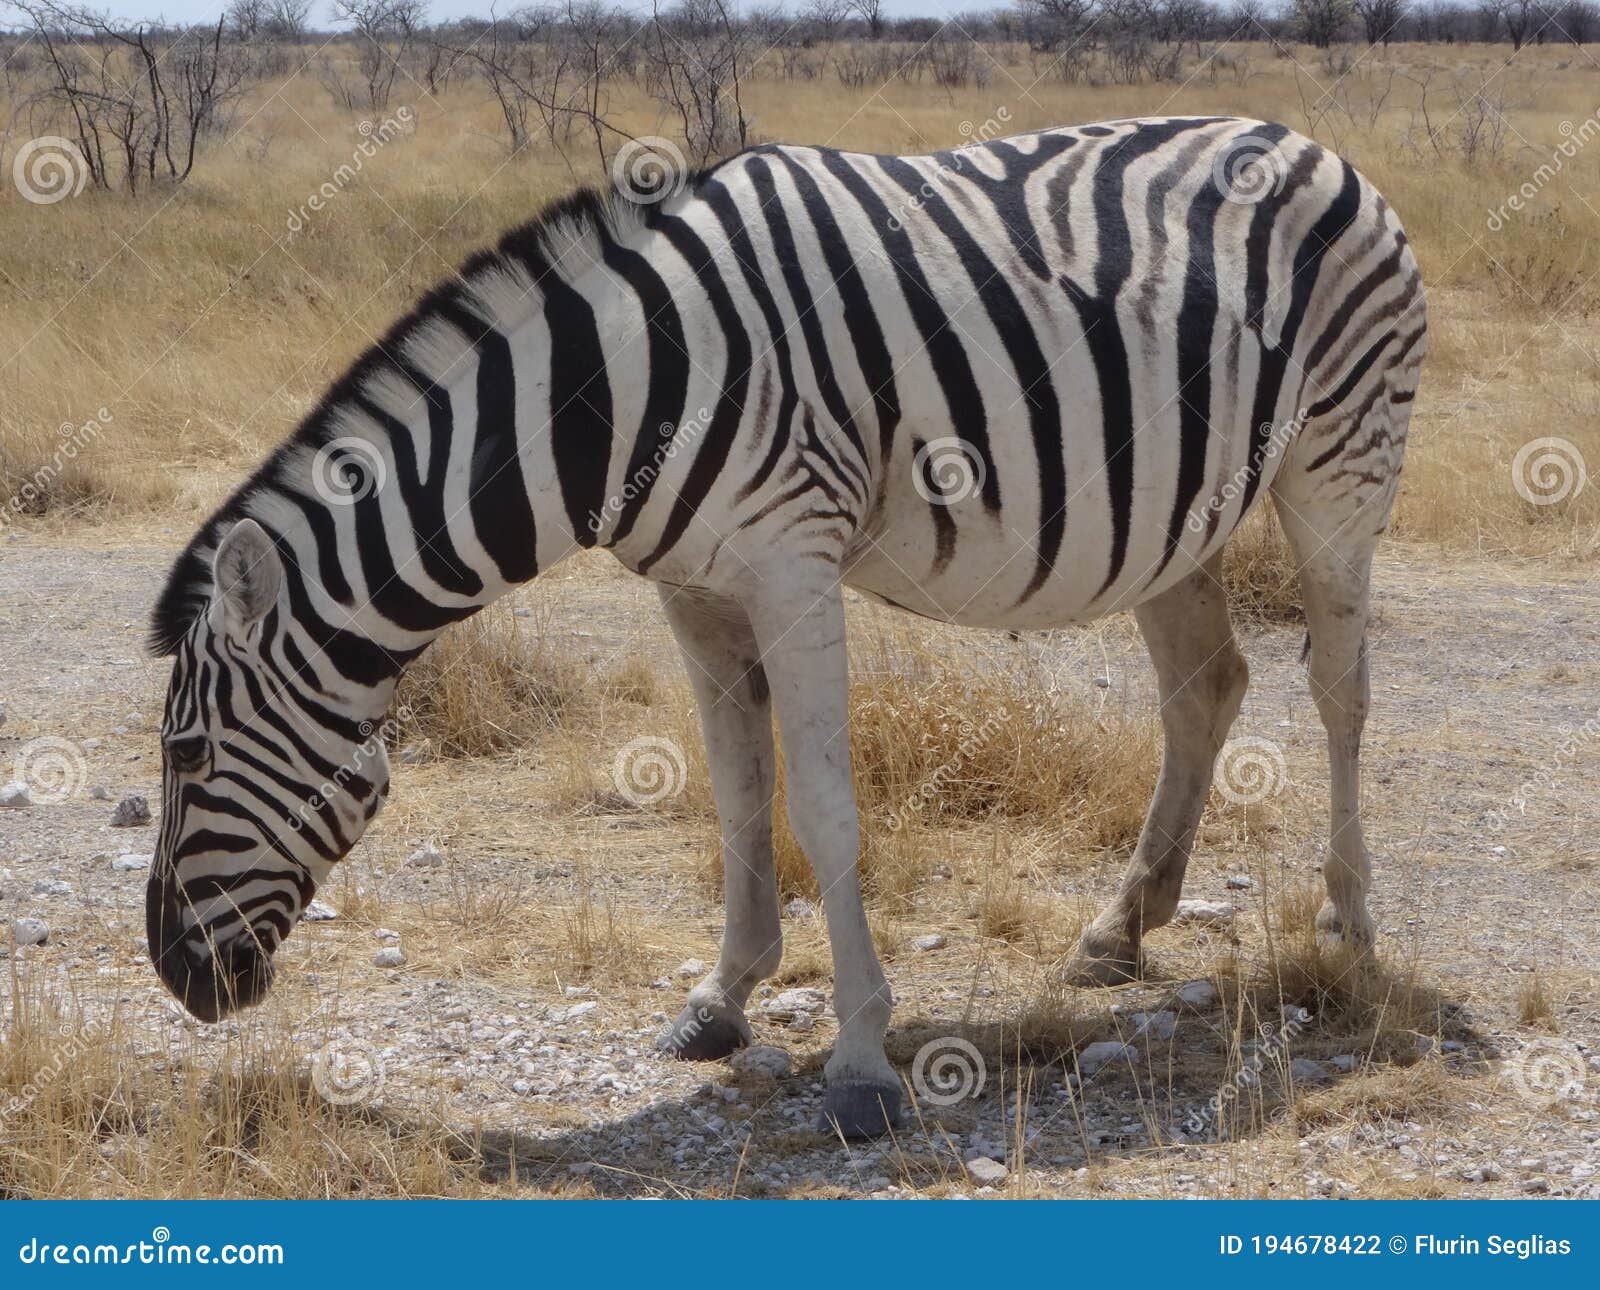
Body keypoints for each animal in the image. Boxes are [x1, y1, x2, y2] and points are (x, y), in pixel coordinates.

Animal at [146, 116, 1425, 1138]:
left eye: (185, 753)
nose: (174, 976)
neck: (621, 396)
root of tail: (1303, 138)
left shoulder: (793, 563)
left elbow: (817, 804)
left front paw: (860, 1063)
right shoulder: (693, 587)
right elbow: (734, 788)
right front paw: (721, 1001)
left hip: (1337, 461)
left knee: (1341, 686)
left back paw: (1350, 922)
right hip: (1177, 508)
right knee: (1203, 685)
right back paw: (1120, 930)